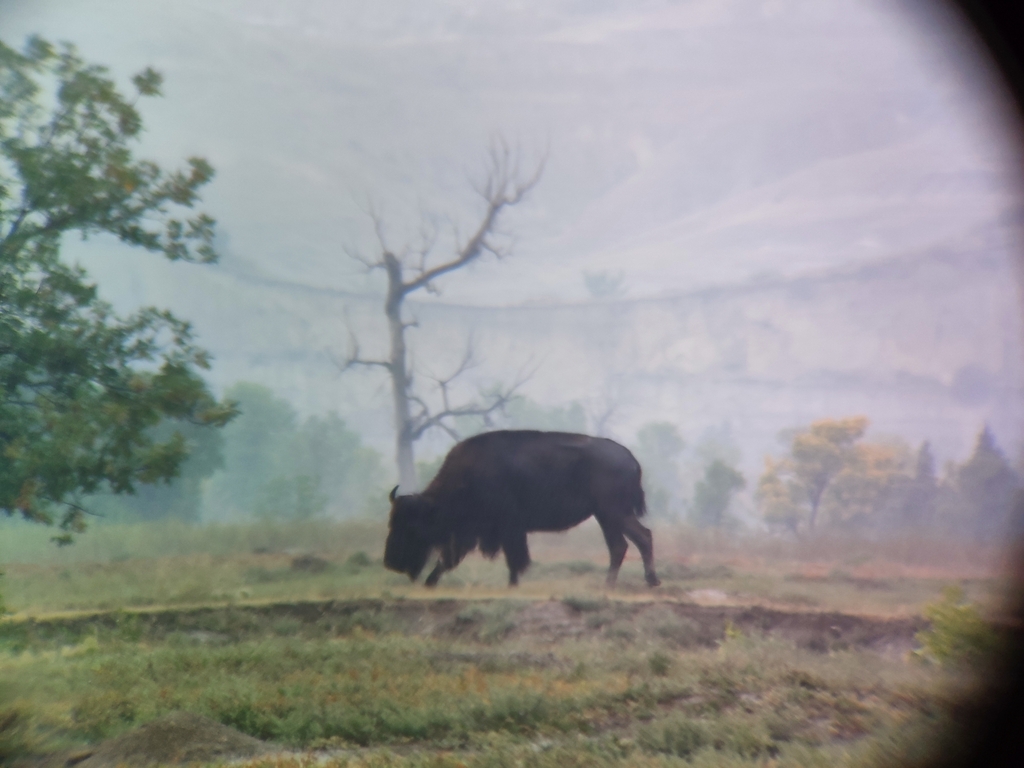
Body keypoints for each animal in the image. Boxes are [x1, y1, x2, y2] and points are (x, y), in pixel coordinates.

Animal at [383, 430, 660, 588]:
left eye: (411, 526)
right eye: (392, 522)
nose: (391, 562)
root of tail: (631, 460)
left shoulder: (507, 528)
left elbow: (513, 557)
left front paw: (513, 583)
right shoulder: (478, 531)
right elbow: (451, 557)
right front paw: (431, 581)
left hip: (614, 513)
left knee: (641, 537)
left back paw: (649, 581)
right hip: (605, 516)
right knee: (620, 545)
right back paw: (611, 583)